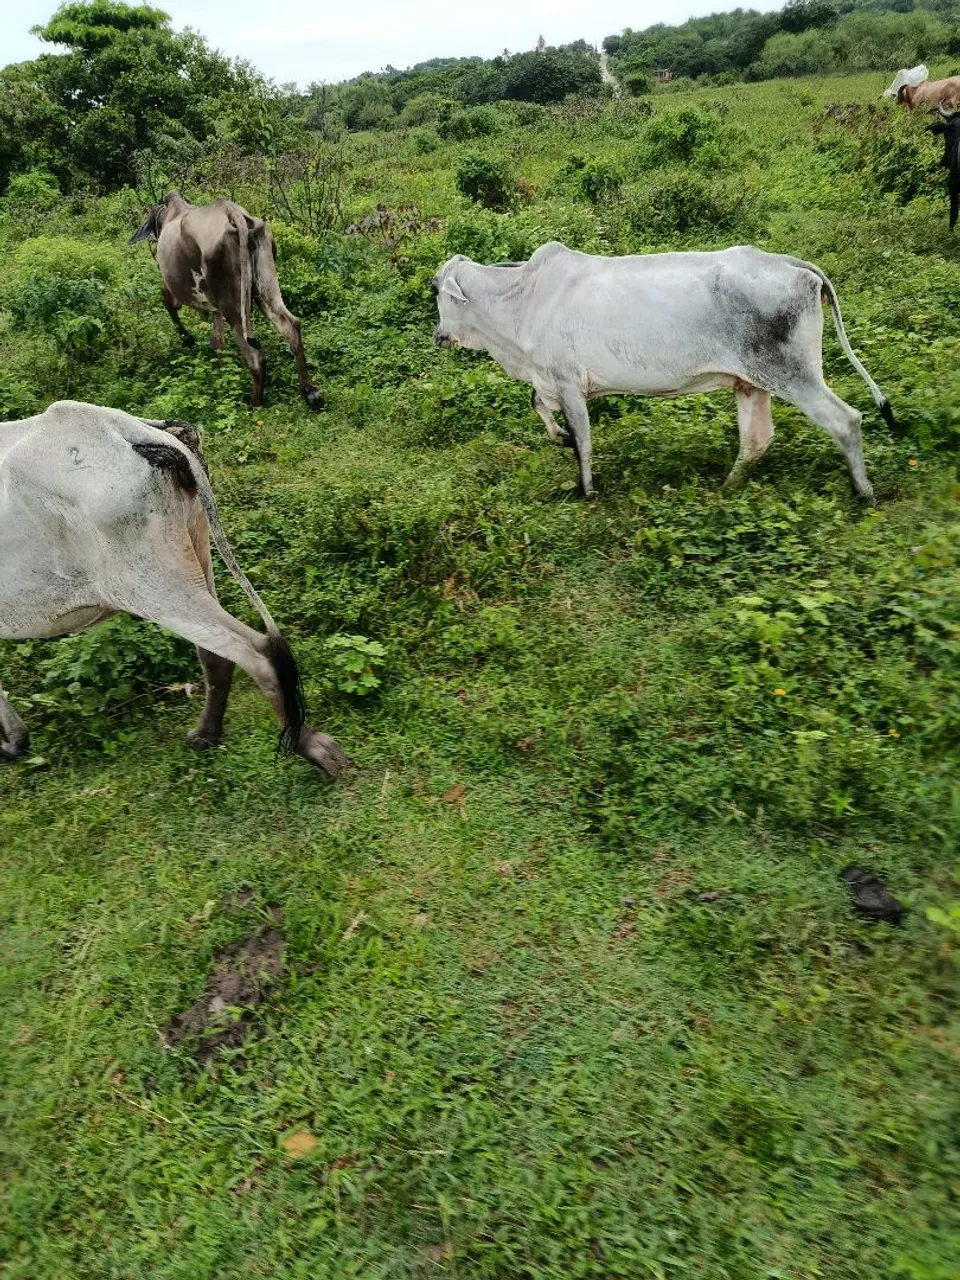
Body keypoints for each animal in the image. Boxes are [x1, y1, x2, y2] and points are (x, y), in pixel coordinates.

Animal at [0, 401, 346, 775]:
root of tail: (127, 429)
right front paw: (16, 740)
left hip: (150, 585)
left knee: (254, 652)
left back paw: (310, 746)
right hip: (192, 556)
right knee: (216, 653)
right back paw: (207, 734)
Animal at [130, 192, 322, 411]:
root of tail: (234, 213)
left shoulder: (172, 289)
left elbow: (169, 306)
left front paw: (187, 338)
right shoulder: (216, 307)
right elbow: (217, 339)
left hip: (233, 306)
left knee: (255, 355)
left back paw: (254, 404)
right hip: (266, 290)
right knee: (291, 327)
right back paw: (310, 392)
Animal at [432, 242, 895, 502]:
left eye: (436, 290)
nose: (438, 336)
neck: (521, 301)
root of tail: (792, 266)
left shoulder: (567, 383)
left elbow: (584, 443)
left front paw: (586, 491)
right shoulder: (548, 381)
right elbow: (538, 407)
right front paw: (558, 438)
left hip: (794, 375)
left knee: (846, 421)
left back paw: (864, 494)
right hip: (752, 382)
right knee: (756, 440)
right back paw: (726, 489)